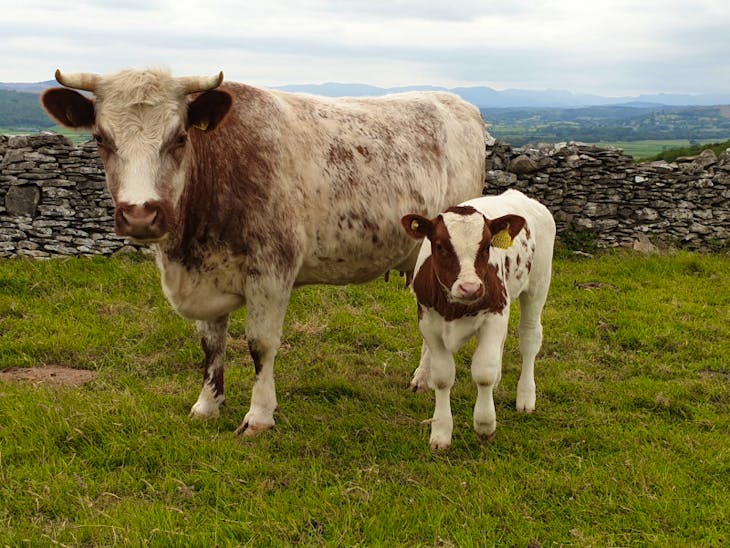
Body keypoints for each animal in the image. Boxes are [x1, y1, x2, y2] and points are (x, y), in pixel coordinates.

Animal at [40, 68, 487, 436]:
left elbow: (260, 344)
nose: (139, 214)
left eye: (180, 138)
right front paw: (207, 405)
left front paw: (258, 416)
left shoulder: (272, 270)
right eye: (100, 139)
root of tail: (457, 102)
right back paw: (424, 378)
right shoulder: (207, 274)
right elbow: (212, 344)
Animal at [401, 189, 555, 450]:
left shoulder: (494, 315)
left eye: (486, 247)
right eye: (440, 246)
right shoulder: (428, 323)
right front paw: (440, 432)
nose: (470, 288)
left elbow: (483, 372)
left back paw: (525, 397)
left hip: (538, 284)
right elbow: (442, 377)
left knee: (529, 338)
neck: (454, 307)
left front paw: (485, 425)